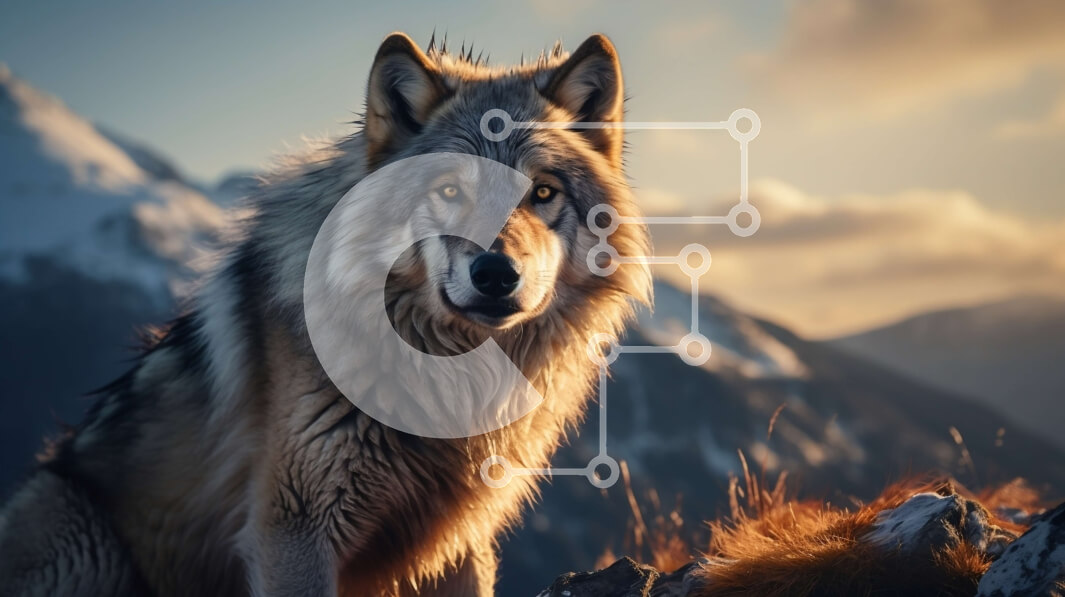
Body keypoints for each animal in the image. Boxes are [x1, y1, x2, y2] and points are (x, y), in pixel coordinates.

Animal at [0, 32, 651, 596]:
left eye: (542, 192)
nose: (495, 274)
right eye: (448, 191)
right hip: (82, 540)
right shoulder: (293, 530)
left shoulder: (458, 541)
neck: (445, 386)